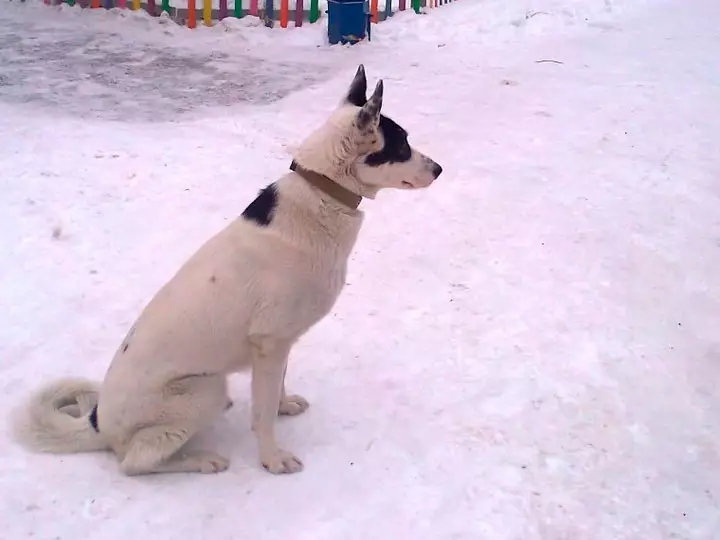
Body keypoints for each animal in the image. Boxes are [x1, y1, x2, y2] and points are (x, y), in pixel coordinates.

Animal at [8, 66, 442, 476]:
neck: (321, 192)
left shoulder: (278, 345)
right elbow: (262, 414)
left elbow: (276, 391)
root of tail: (99, 422)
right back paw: (202, 461)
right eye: (403, 145)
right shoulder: (270, 343)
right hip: (205, 390)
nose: (439, 168)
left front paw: (284, 405)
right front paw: (272, 459)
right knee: (134, 463)